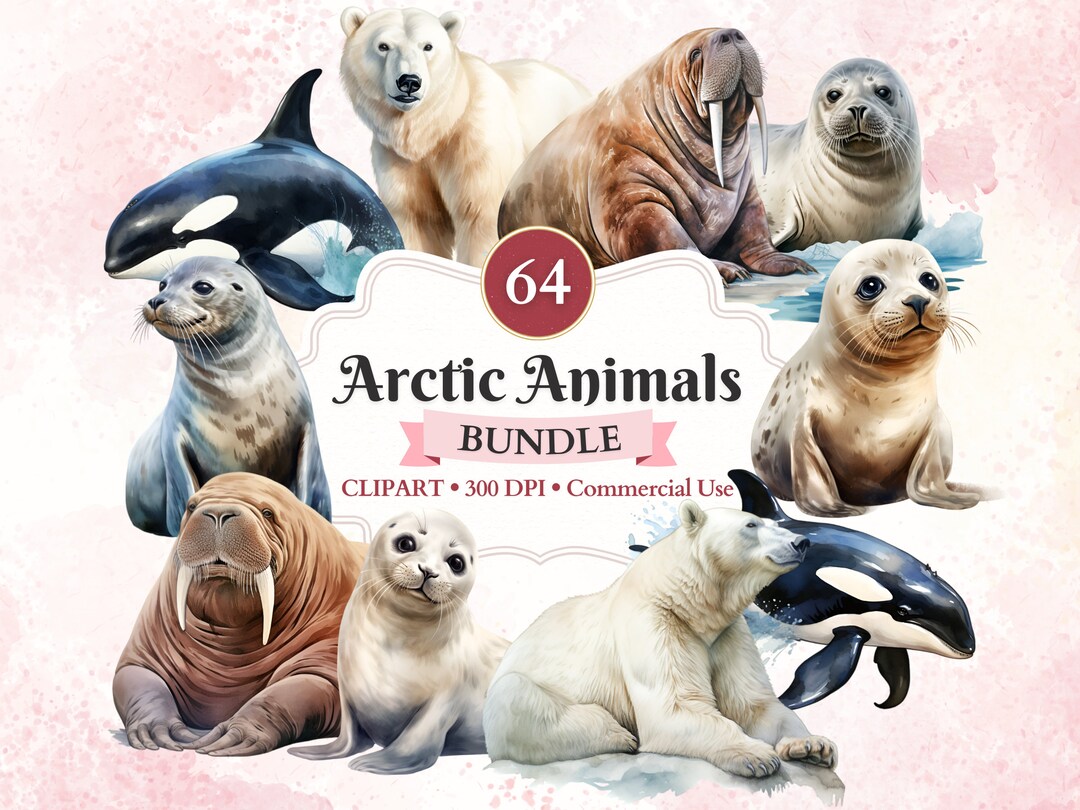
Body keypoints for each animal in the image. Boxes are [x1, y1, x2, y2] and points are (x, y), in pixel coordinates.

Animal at [338, 7, 592, 267]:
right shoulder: (400, 159)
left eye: (427, 46)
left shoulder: (475, 144)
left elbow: (478, 214)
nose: (409, 81)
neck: (436, 126)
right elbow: (418, 218)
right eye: (383, 46)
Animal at [483, 501, 839, 778]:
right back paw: (618, 735)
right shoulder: (657, 624)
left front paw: (811, 744)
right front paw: (757, 755)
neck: (689, 600)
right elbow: (674, 708)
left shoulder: (726, 633)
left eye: (774, 523)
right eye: (751, 524)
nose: (801, 542)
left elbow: (755, 704)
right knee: (516, 699)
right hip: (518, 695)